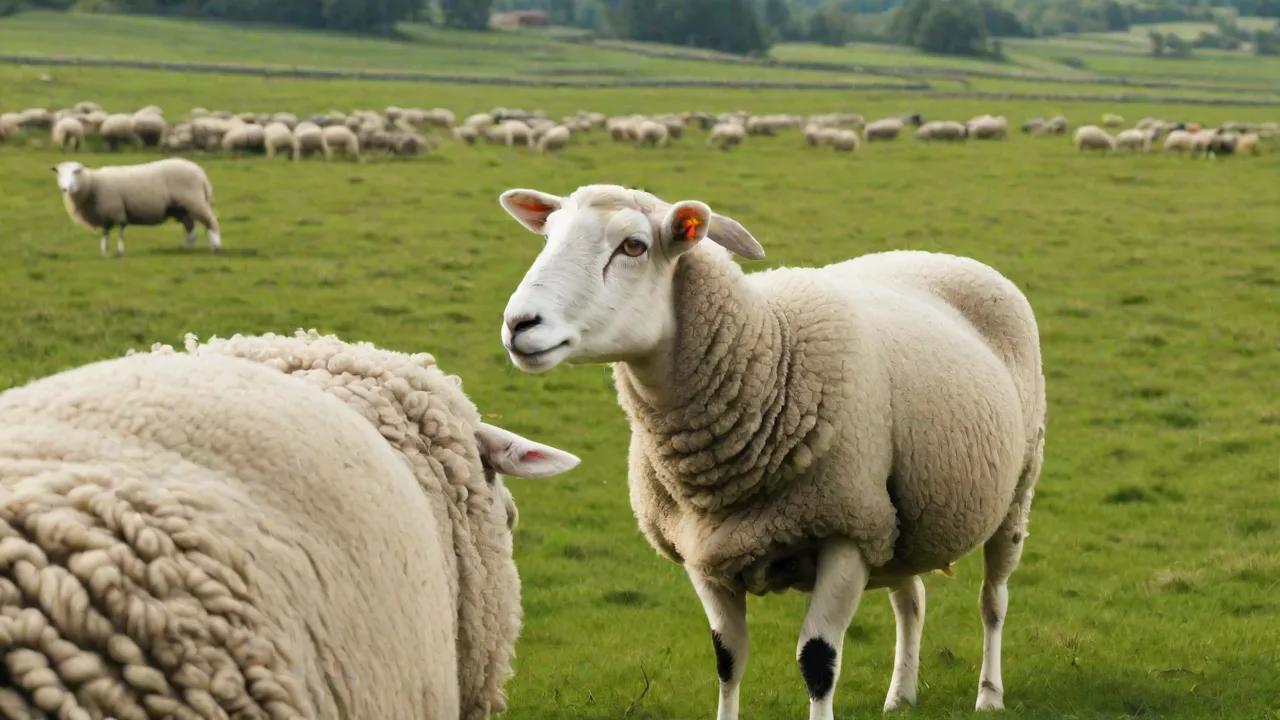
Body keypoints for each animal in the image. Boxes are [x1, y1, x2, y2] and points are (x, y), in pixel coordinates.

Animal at [52, 158, 222, 258]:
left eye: (76, 171)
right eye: (59, 172)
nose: (65, 189)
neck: (93, 184)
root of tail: (200, 172)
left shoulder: (118, 211)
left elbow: (120, 234)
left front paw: (120, 252)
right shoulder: (106, 215)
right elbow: (105, 234)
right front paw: (104, 252)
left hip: (195, 201)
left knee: (211, 223)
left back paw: (216, 247)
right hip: (182, 207)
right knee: (191, 228)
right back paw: (186, 248)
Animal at [495, 184, 1046, 720]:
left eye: (634, 246)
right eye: (548, 238)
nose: (519, 324)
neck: (767, 351)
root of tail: (940, 256)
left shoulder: (846, 531)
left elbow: (818, 661)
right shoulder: (706, 552)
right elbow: (727, 659)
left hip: (1011, 490)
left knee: (993, 600)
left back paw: (989, 694)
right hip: (896, 518)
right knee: (911, 600)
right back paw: (900, 696)